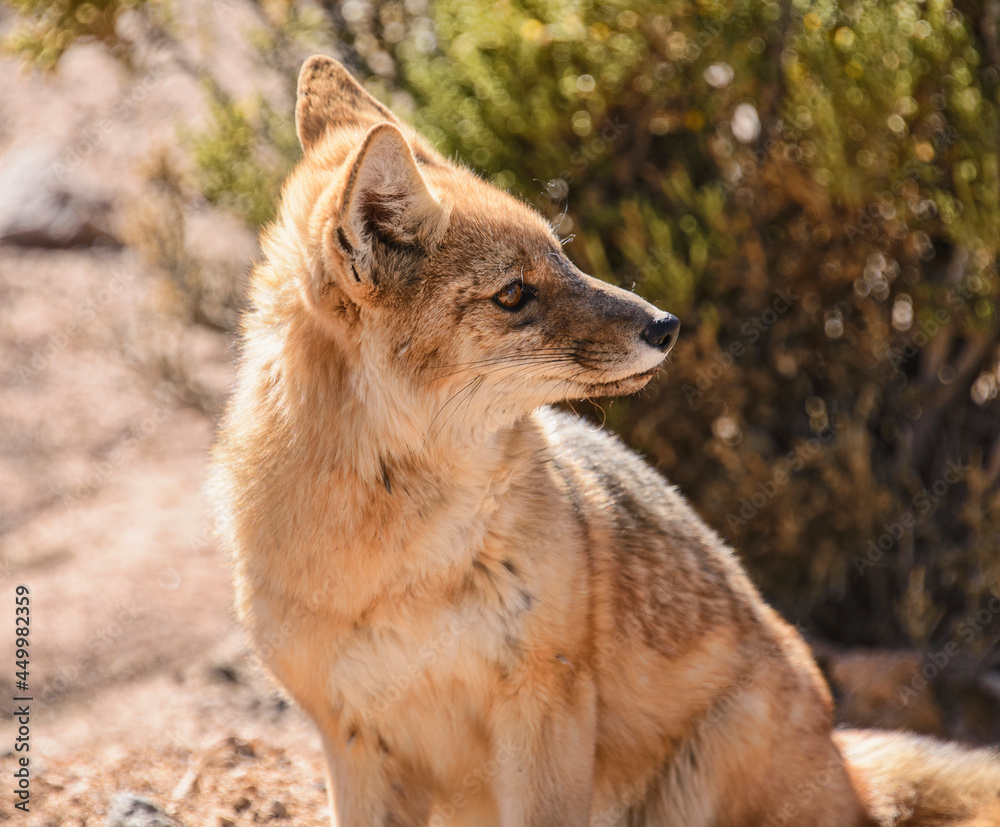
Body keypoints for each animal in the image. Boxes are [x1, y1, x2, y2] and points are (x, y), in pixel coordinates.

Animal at [209, 55, 1000, 826]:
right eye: (514, 293)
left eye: (564, 258)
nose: (667, 325)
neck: (399, 562)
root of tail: (841, 761)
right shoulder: (353, 739)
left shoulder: (546, 705)